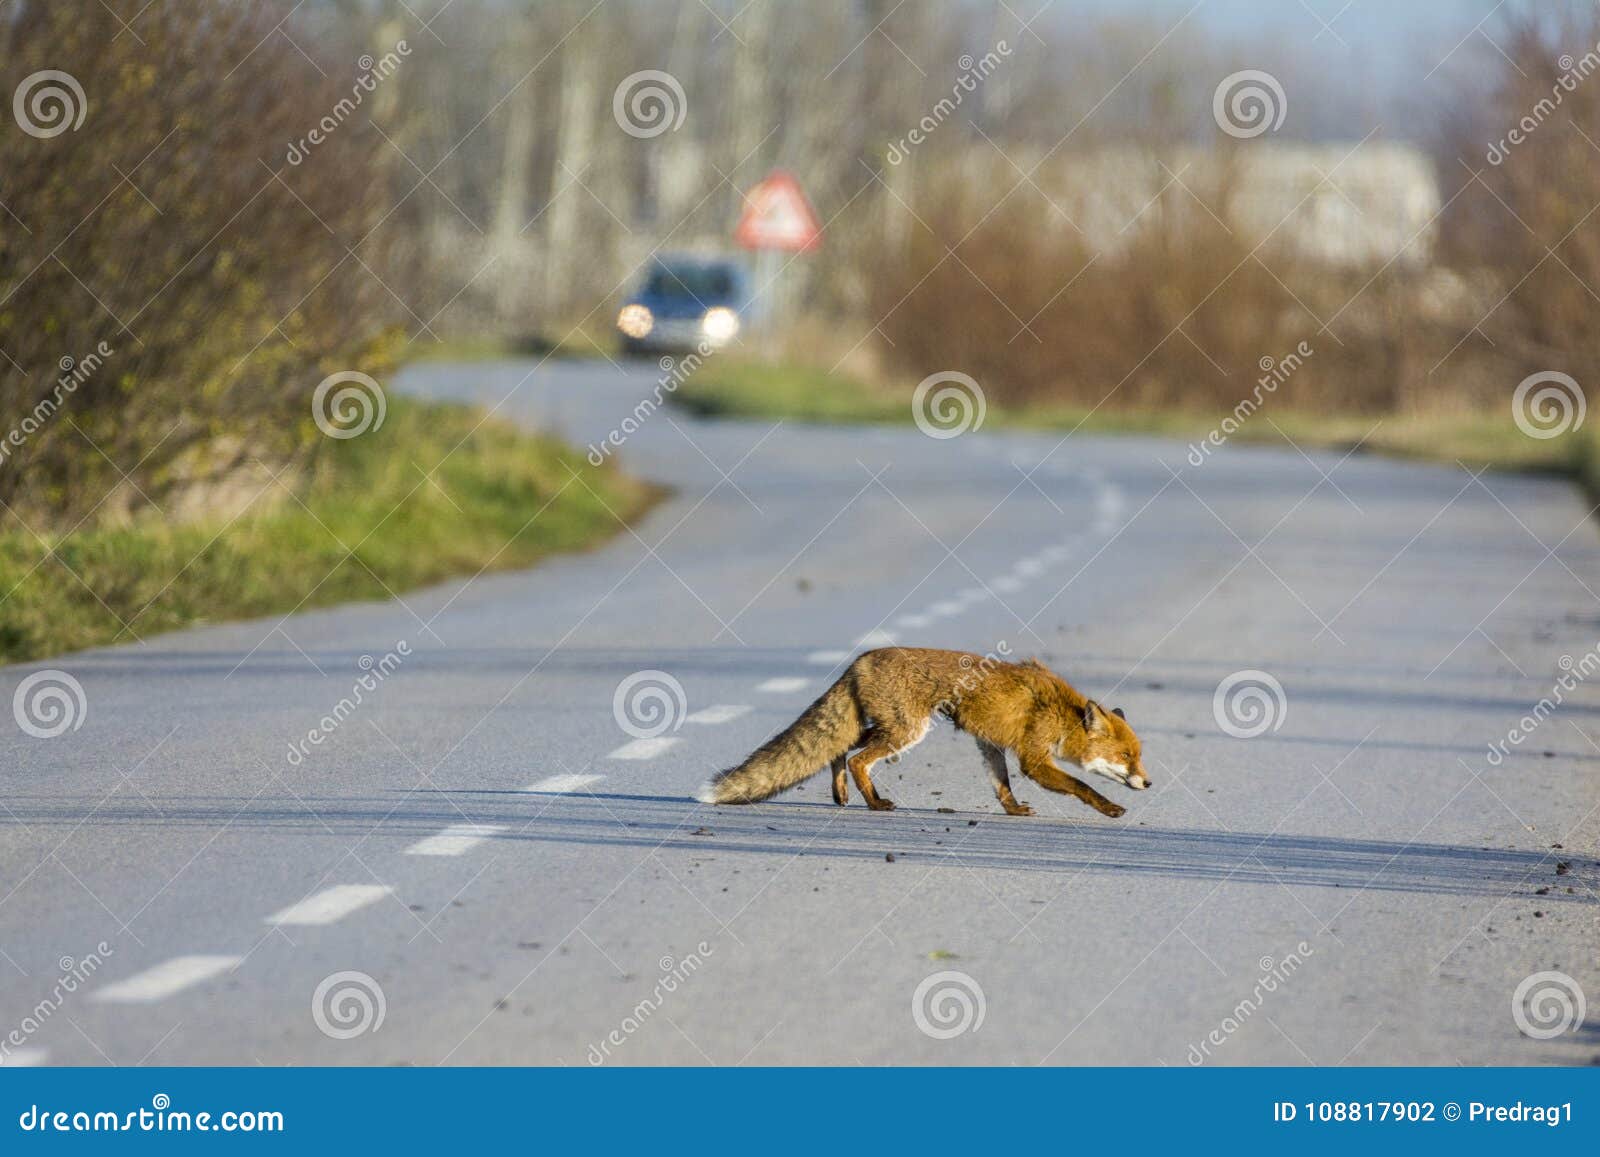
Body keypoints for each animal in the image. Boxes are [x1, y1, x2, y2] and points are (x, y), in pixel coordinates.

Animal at [697, 647, 1148, 818]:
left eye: (1139, 756)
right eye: (1126, 757)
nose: (1148, 782)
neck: (1061, 711)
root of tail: (861, 658)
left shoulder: (990, 743)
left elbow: (1001, 785)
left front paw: (1014, 810)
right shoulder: (1034, 759)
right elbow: (1082, 786)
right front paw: (1110, 808)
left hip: (889, 728)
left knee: (840, 749)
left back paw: (841, 792)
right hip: (906, 731)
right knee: (857, 759)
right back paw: (875, 803)